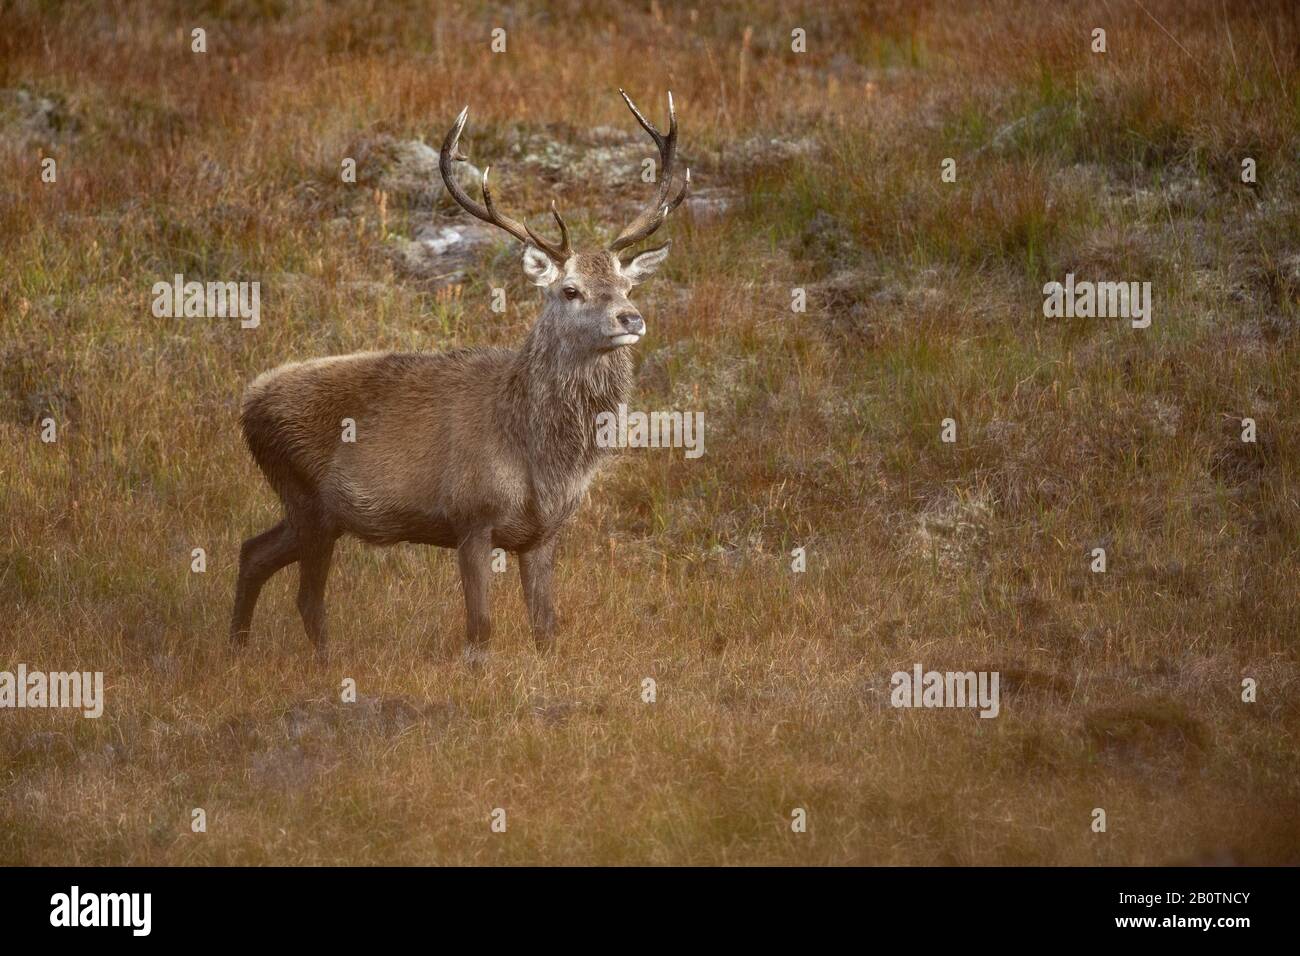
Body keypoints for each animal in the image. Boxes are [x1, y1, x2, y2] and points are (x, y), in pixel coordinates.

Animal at [230, 90, 689, 661]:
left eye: (628, 285)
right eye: (571, 290)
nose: (631, 318)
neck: (543, 458)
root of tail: (247, 403)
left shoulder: (544, 532)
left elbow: (547, 628)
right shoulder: (471, 516)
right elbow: (480, 629)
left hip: (309, 511)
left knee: (252, 551)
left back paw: (237, 648)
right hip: (308, 498)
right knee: (306, 597)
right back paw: (321, 664)